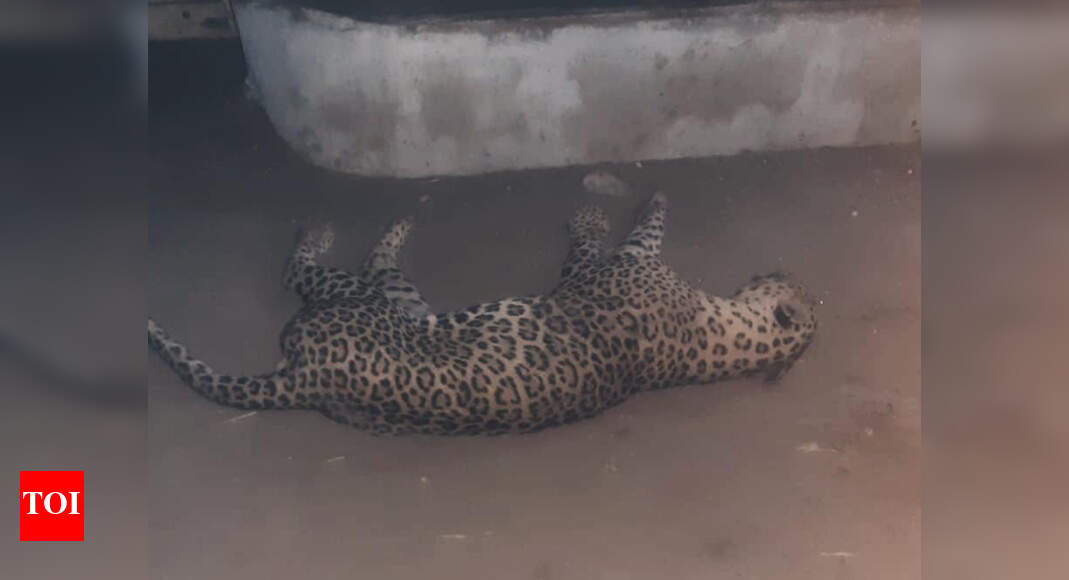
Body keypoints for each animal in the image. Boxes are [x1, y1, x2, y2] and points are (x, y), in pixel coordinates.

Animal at [148, 194, 817, 435]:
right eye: (794, 282)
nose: (780, 265)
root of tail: (305, 382)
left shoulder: (604, 269)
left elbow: (627, 234)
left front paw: (609, 210)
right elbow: (637, 228)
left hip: (363, 303)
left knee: (311, 270)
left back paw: (328, 230)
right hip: (403, 307)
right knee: (378, 265)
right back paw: (397, 222)